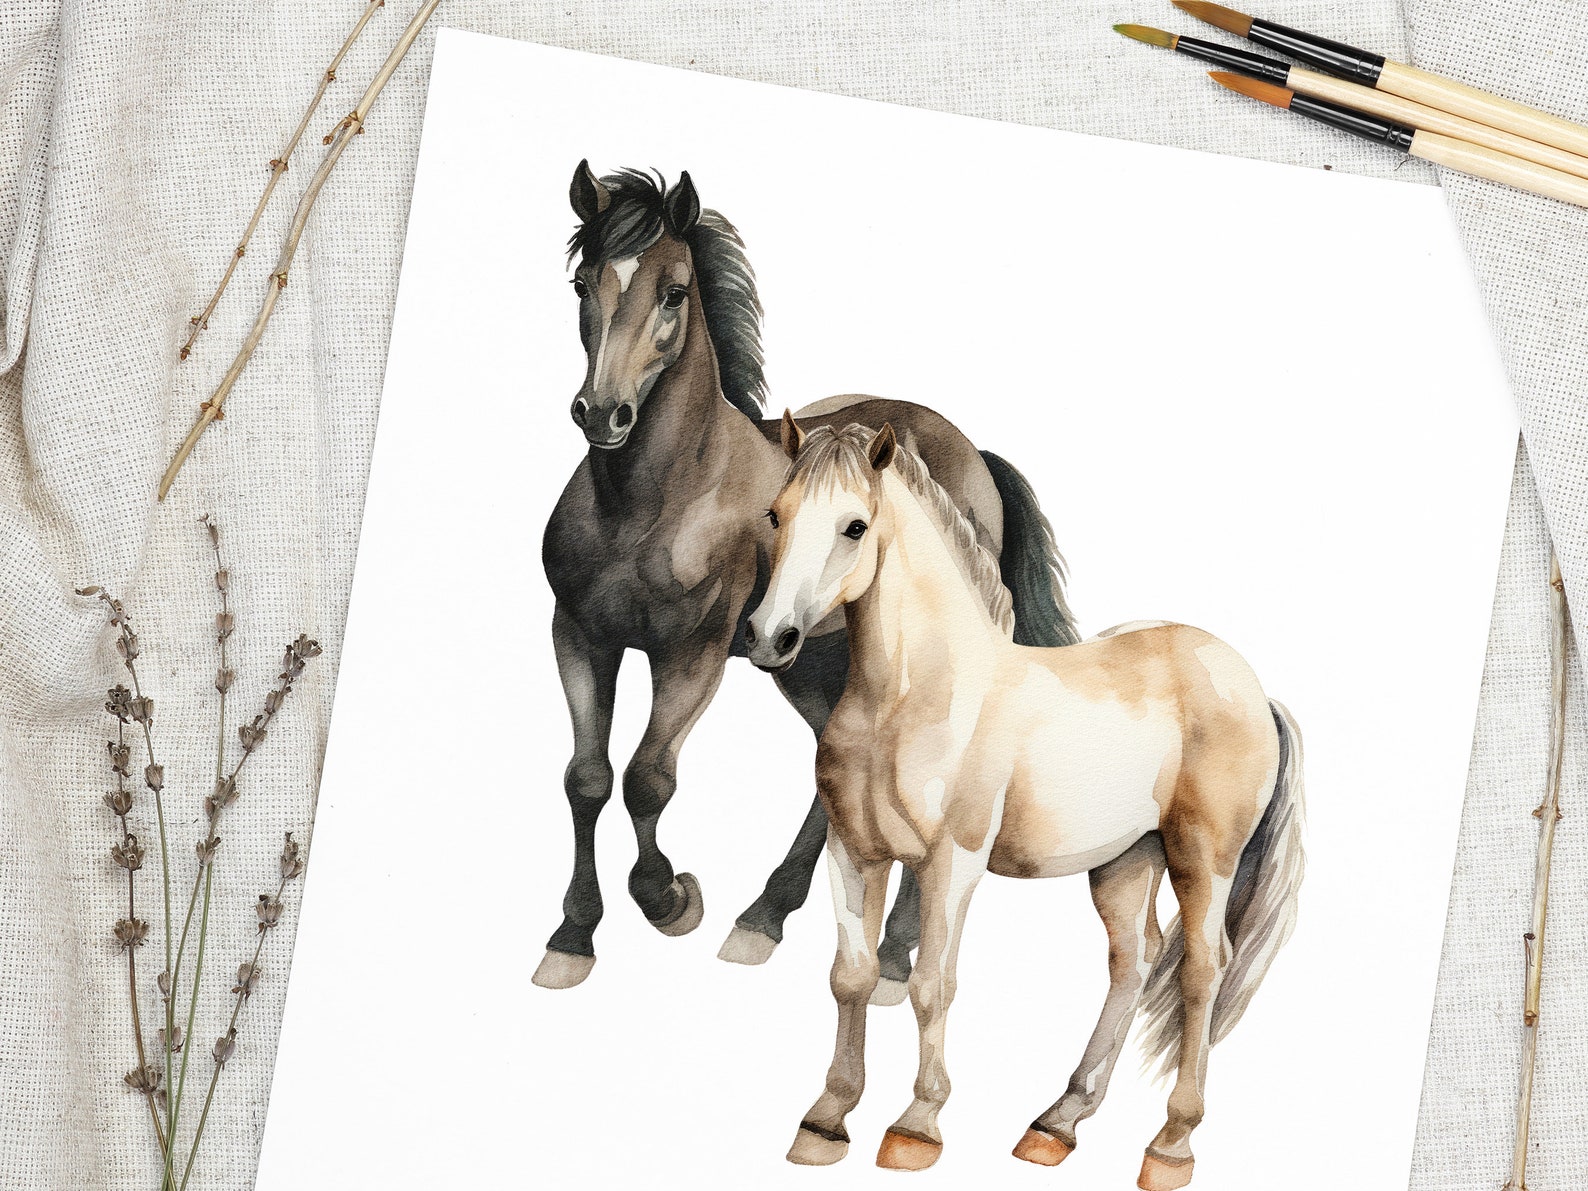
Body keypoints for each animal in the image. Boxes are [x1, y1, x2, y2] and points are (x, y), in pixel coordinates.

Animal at [534, 163, 1080, 992]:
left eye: (675, 291)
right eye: (580, 283)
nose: (603, 413)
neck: (650, 501)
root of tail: (974, 456)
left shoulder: (692, 654)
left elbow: (647, 776)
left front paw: (671, 900)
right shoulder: (580, 637)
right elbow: (586, 778)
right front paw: (572, 935)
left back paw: (889, 955)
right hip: (812, 660)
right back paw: (767, 920)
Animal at [745, 417, 1305, 1191]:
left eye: (855, 525)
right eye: (777, 513)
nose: (771, 638)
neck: (913, 698)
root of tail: (1251, 686)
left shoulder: (951, 862)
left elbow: (930, 983)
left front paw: (915, 1128)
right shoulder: (854, 851)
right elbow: (849, 976)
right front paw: (825, 1121)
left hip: (1203, 857)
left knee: (1202, 968)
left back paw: (1170, 1145)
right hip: (1126, 862)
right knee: (1134, 963)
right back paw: (1056, 1124)